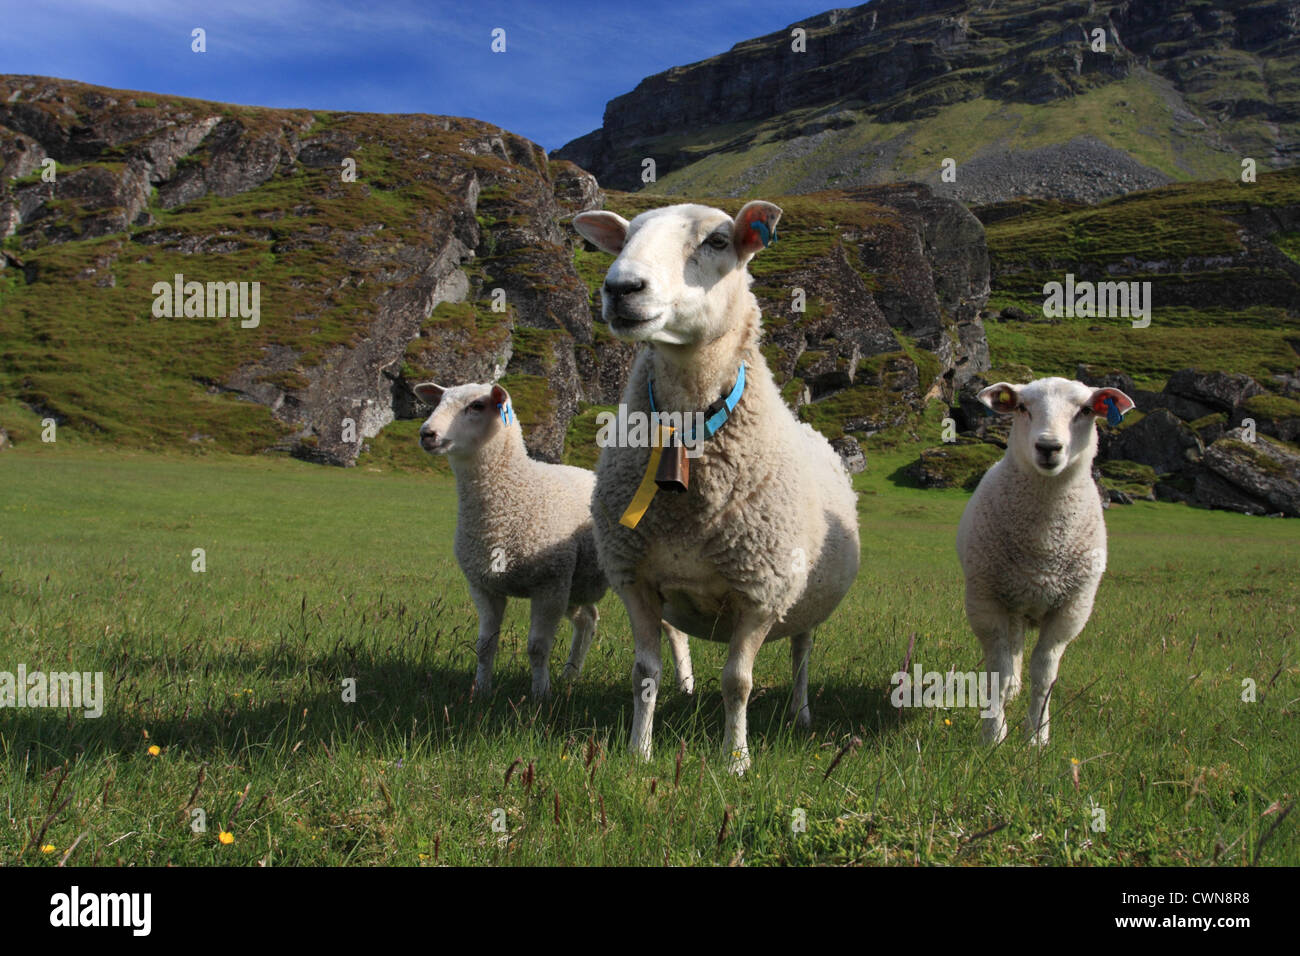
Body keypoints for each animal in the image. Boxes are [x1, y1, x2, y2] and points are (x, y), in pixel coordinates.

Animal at [414, 381, 694, 699]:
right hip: (577, 583)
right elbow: (485, 646)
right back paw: (570, 673)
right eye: (439, 402)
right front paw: (481, 691)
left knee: (674, 630)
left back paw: (685, 684)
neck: (510, 493)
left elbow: (537, 647)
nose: (426, 433)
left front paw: (540, 694)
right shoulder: (484, 587)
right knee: (588, 619)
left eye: (476, 405)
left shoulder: (549, 584)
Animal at [572, 201, 861, 774]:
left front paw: (737, 760)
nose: (620, 287)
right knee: (679, 640)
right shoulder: (635, 578)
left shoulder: (761, 591)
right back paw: (685, 689)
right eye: (625, 239)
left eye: (719, 241)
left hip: (806, 598)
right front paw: (639, 752)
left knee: (802, 653)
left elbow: (738, 682)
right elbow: (644, 673)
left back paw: (800, 714)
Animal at [956, 376, 1134, 746]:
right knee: (1011, 655)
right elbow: (997, 672)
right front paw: (994, 734)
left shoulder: (1071, 611)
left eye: (1086, 410)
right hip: (1011, 602)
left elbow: (1044, 675)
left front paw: (1037, 736)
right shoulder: (986, 603)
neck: (1044, 546)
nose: (1049, 447)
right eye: (1023, 407)